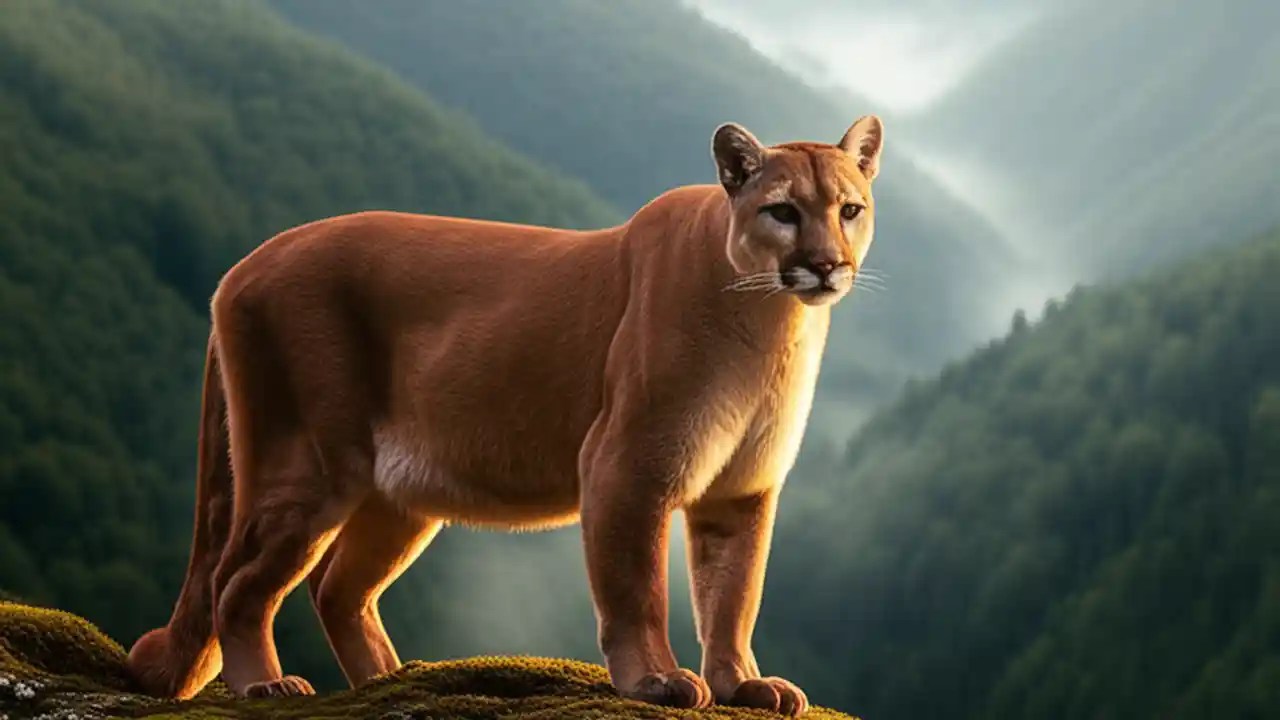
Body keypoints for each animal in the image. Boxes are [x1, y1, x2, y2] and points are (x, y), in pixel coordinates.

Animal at [126, 116, 884, 716]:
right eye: (783, 211)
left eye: (849, 209)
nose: (825, 265)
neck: (770, 322)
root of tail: (247, 261)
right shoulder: (627, 467)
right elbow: (636, 586)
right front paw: (655, 680)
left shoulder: (742, 489)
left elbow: (733, 596)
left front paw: (742, 685)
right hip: (307, 467)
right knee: (235, 583)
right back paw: (267, 686)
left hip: (397, 498)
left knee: (336, 587)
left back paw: (394, 680)